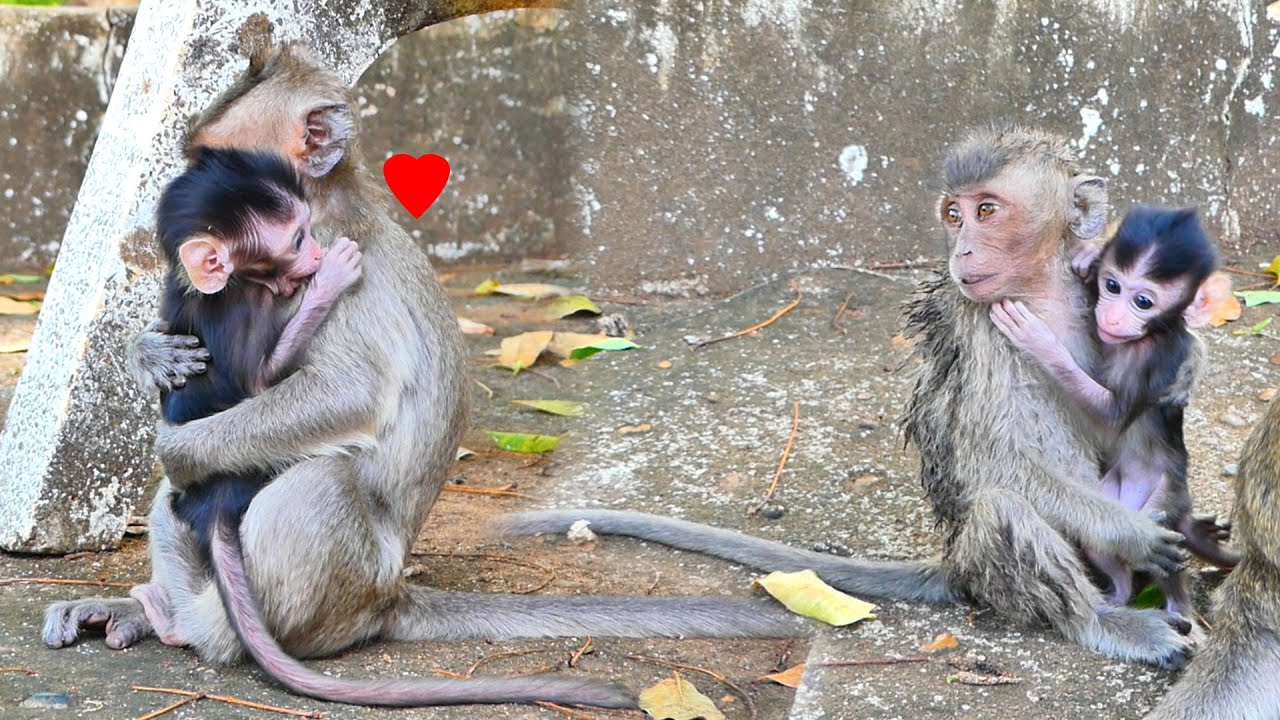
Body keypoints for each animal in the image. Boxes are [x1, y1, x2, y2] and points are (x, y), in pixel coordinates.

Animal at [41, 45, 805, 710]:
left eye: (214, 160)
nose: (174, 206)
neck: (329, 202)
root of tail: (388, 600)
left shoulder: (325, 265)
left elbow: (335, 392)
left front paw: (175, 442)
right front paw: (149, 352)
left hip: (346, 586)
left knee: (317, 482)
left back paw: (216, 632)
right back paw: (152, 610)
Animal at [496, 126, 1202, 670]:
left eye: (988, 211)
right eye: (954, 214)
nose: (962, 248)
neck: (1042, 289)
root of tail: (955, 564)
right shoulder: (986, 330)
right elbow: (996, 464)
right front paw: (1131, 531)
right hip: (986, 561)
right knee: (1002, 507)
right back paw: (1103, 619)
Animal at [989, 206, 1237, 617]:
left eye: (1143, 302)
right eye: (1112, 286)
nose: (1112, 318)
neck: (1150, 334)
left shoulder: (1151, 360)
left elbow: (1111, 415)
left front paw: (1039, 338)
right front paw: (1088, 256)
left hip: (1166, 497)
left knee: (1162, 542)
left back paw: (1179, 609)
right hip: (1114, 496)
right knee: (1103, 538)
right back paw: (1119, 593)